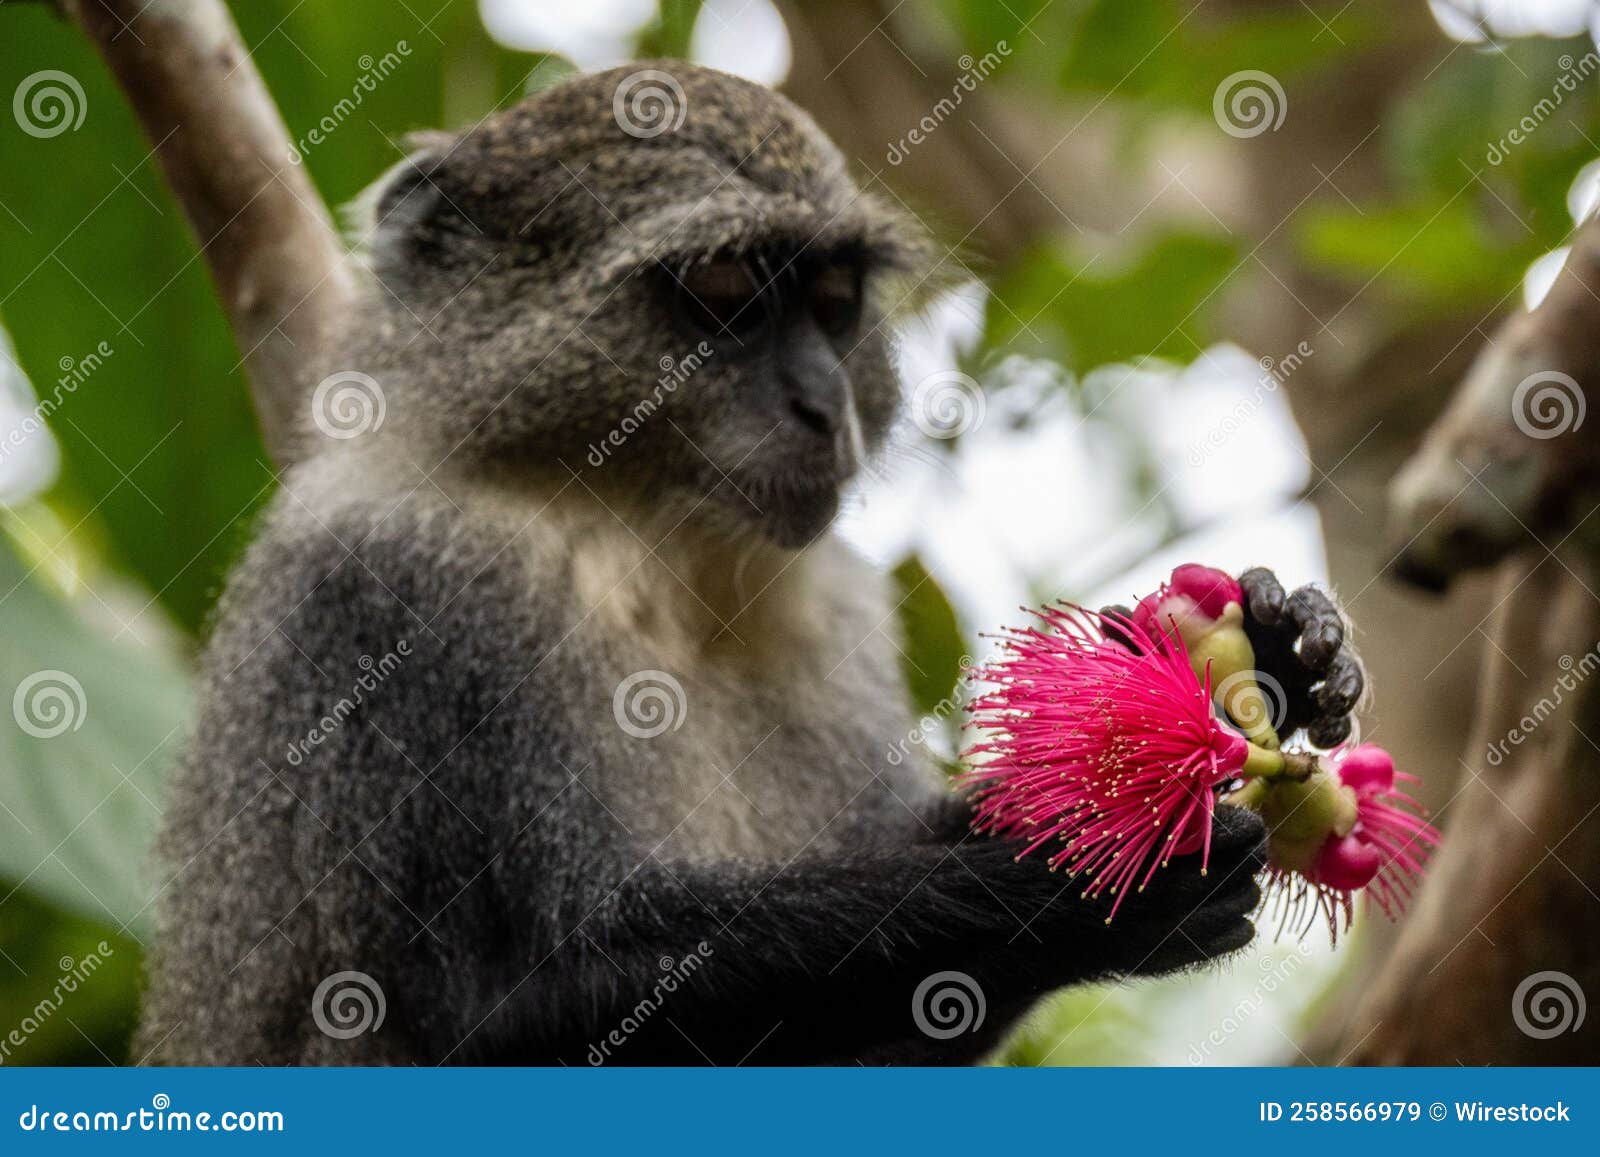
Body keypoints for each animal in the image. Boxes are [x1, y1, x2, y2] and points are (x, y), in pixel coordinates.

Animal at [134, 62, 1362, 1065]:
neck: (648, 541)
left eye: (834, 301)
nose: (823, 406)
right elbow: (478, 1013)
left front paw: (1268, 640)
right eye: (723, 289)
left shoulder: (837, 608)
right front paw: (1044, 881)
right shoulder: (392, 591)